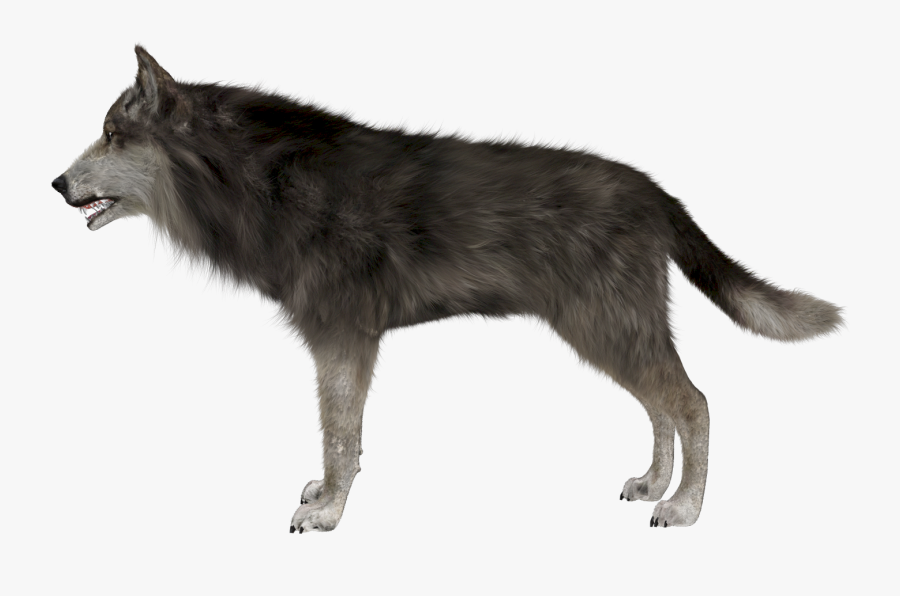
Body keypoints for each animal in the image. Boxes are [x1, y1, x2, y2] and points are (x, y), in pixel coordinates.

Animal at [52, 46, 842, 532]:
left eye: (113, 134)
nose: (56, 183)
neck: (262, 182)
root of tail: (655, 191)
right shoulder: (346, 345)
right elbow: (344, 439)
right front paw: (327, 497)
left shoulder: (343, 340)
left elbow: (340, 436)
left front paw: (329, 512)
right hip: (609, 329)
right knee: (663, 407)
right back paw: (654, 484)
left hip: (607, 325)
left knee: (694, 403)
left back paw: (684, 509)